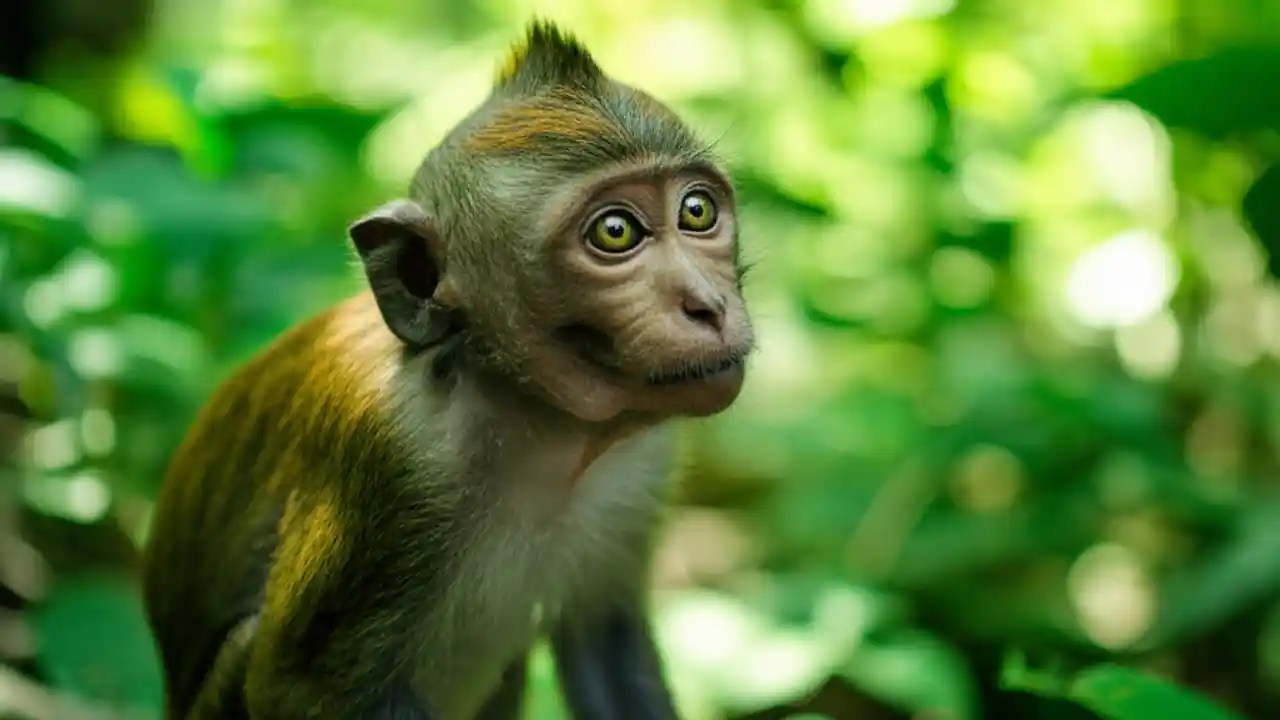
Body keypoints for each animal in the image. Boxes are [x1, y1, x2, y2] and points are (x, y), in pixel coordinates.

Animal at [140, 19, 754, 720]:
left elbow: (603, 640)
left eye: (697, 211)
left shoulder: (642, 464)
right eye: (616, 232)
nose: (708, 305)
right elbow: (290, 683)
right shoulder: (390, 463)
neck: (540, 429)